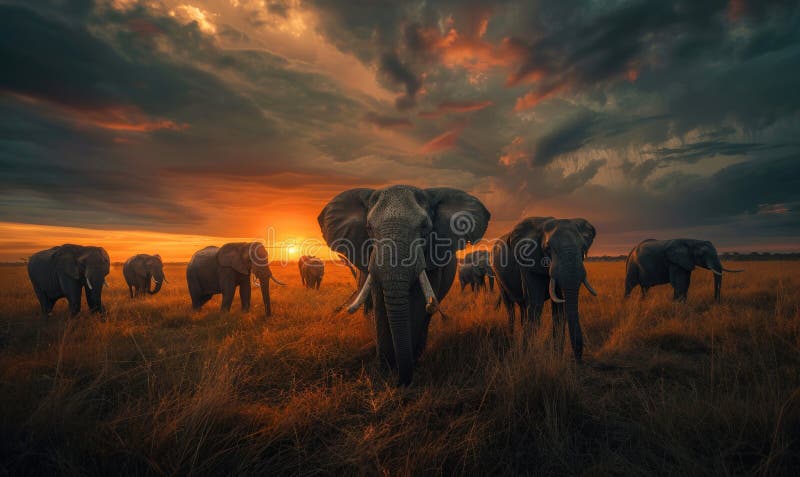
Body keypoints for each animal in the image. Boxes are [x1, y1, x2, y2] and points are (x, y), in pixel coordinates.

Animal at [318, 185, 490, 385]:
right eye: (369, 228)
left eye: (425, 227)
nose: (401, 381)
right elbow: (380, 302)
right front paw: (385, 371)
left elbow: (417, 304)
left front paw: (407, 370)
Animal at [492, 217, 597, 361]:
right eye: (547, 249)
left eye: (584, 248)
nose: (578, 359)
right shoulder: (528, 263)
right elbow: (536, 304)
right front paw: (526, 357)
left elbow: (559, 310)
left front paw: (557, 357)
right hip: (497, 275)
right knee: (510, 308)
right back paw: (511, 339)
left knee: (523, 307)